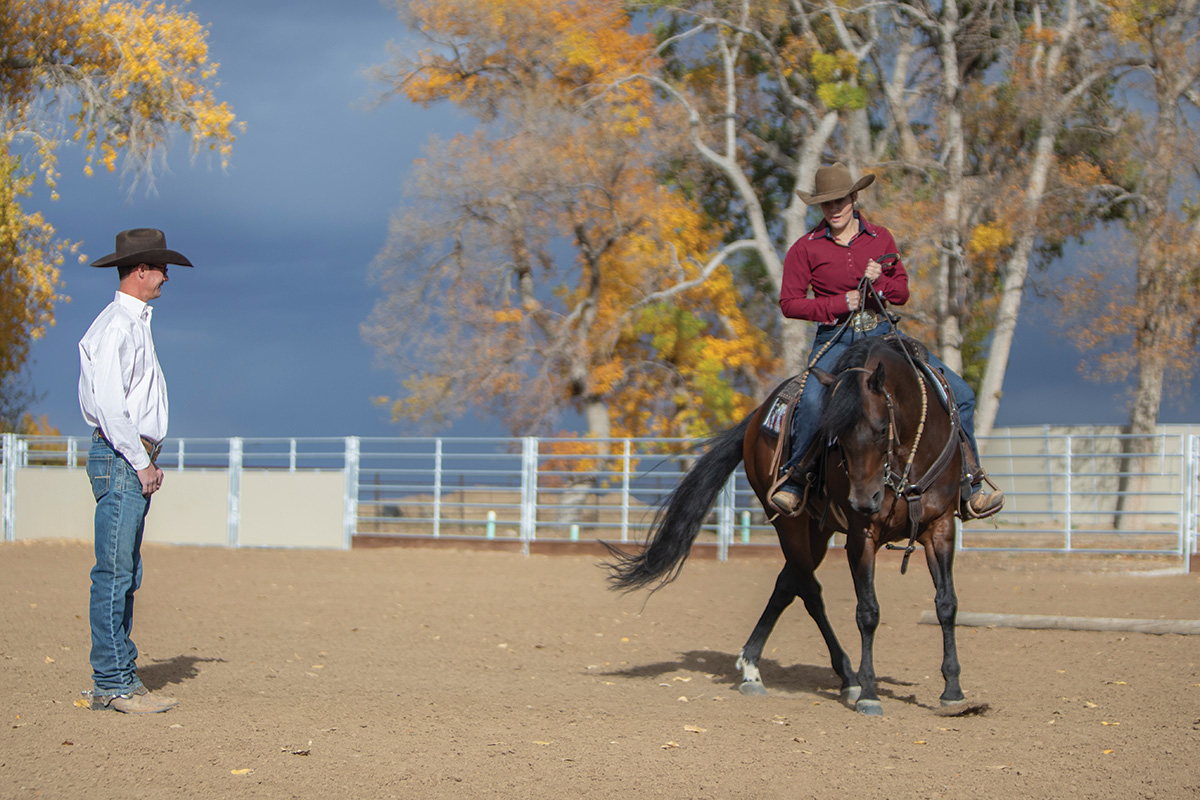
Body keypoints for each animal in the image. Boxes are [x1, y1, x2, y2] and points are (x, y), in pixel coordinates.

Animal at [604, 335, 969, 716]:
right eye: (832, 435)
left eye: (882, 429)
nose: (864, 501)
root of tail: (757, 418)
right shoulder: (861, 536)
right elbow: (867, 611)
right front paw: (869, 692)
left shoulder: (941, 528)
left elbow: (946, 604)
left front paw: (953, 690)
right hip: (791, 526)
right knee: (808, 590)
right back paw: (846, 678)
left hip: (818, 531)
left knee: (787, 583)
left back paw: (753, 666)